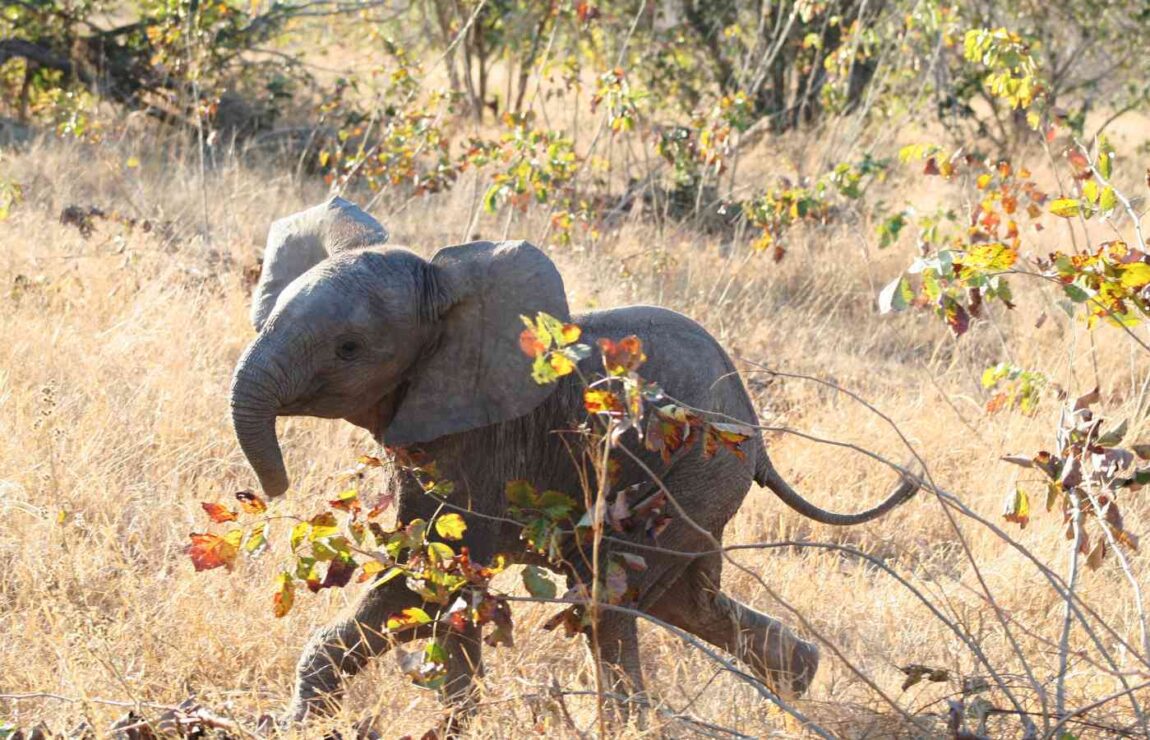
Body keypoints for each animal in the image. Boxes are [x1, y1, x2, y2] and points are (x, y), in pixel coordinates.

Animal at [229, 197, 919, 724]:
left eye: (348, 349)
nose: (272, 489)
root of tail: (757, 430)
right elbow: (427, 578)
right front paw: (294, 722)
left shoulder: (481, 440)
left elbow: (436, 575)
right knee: (681, 601)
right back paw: (799, 683)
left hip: (696, 474)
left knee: (609, 598)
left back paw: (632, 721)